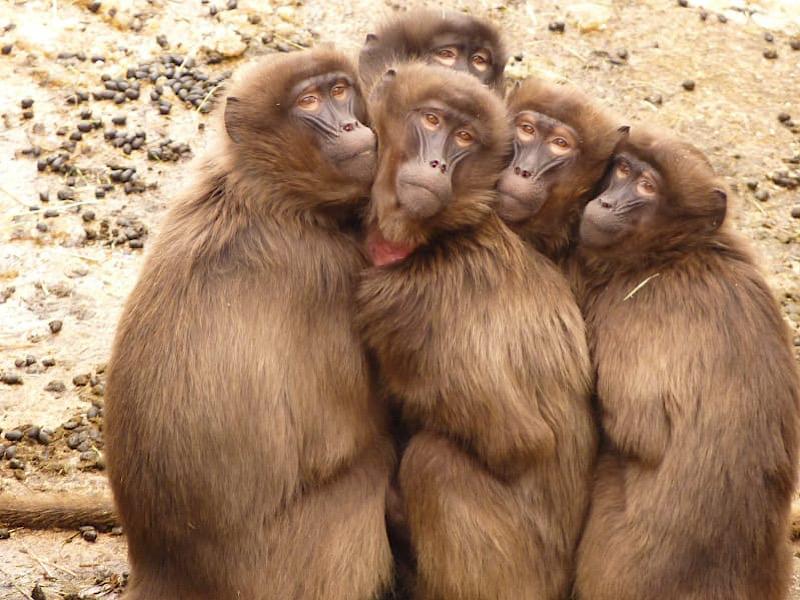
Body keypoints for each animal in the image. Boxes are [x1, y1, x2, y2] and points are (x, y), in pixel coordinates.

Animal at [356, 63, 596, 600]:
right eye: (431, 120)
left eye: (464, 137)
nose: (438, 163)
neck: (439, 238)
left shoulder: (414, 306)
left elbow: (518, 442)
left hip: (518, 572)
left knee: (434, 461)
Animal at [573, 126, 800, 600]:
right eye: (623, 169)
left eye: (646, 186)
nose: (606, 202)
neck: (676, 254)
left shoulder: (638, 309)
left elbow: (637, 429)